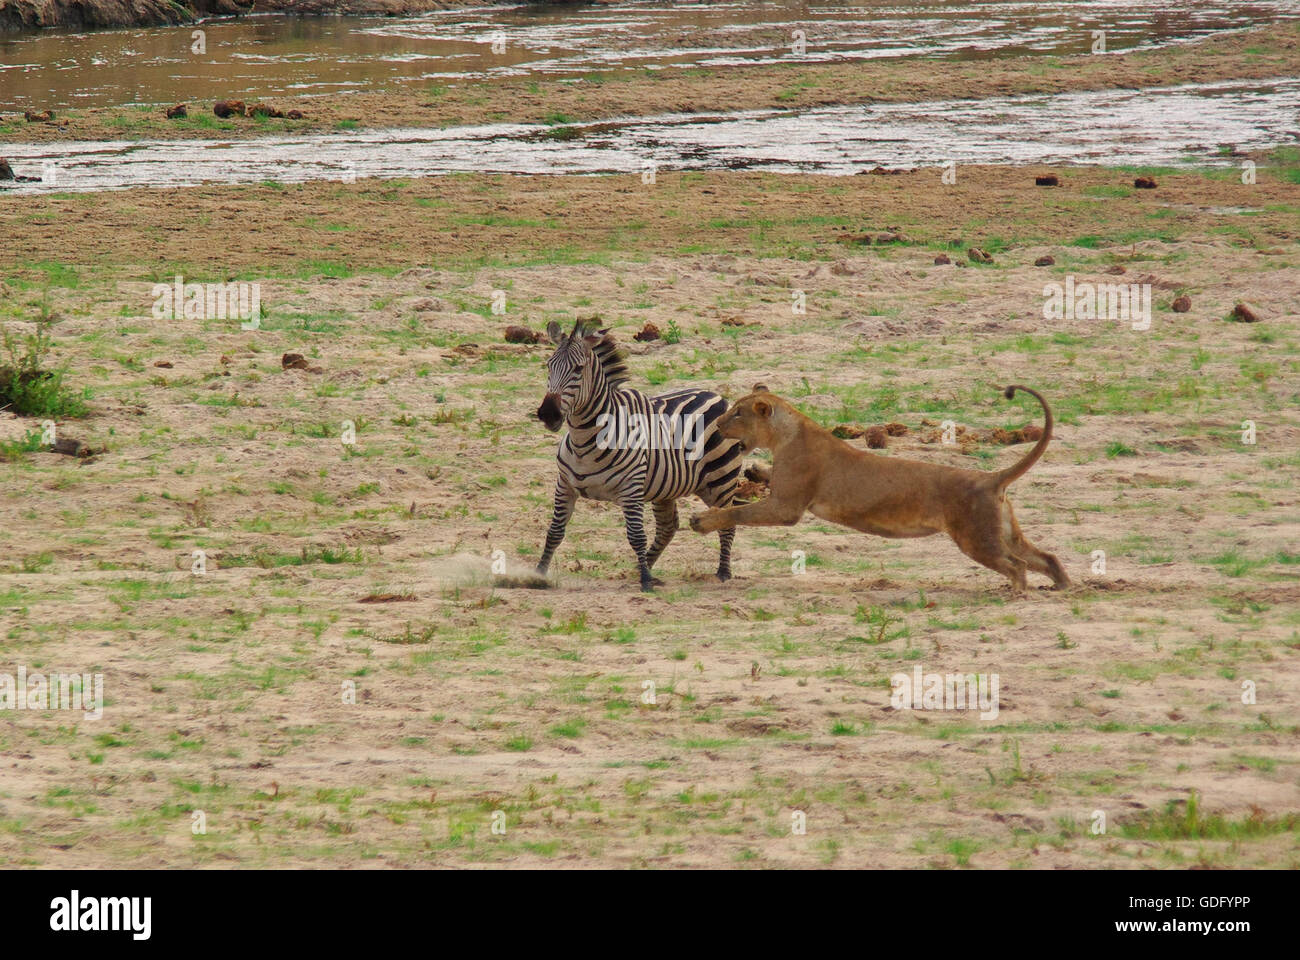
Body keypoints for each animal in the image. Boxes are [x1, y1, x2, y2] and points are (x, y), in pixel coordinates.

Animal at [689, 385, 1071, 591]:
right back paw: (1064, 589)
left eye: (737, 413)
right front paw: (755, 470)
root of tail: (991, 477)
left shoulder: (787, 507)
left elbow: (737, 511)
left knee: (1016, 565)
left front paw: (701, 521)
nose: (717, 424)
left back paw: (1017, 595)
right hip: (1002, 531)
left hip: (977, 538)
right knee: (1045, 557)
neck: (785, 434)